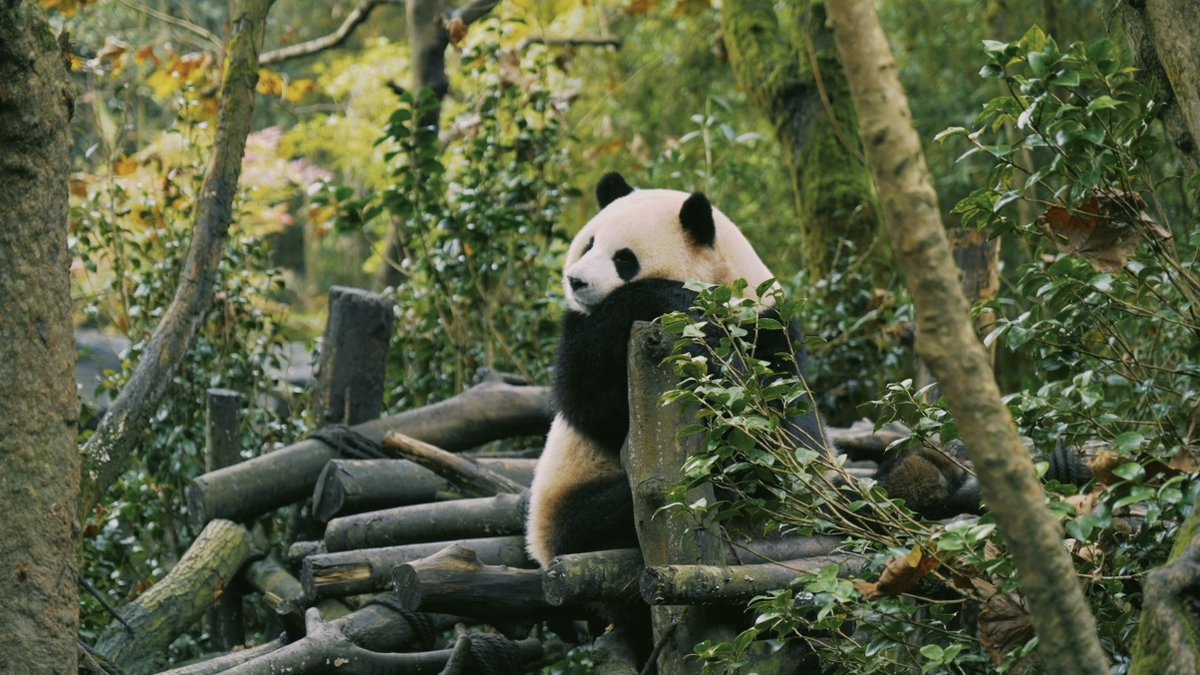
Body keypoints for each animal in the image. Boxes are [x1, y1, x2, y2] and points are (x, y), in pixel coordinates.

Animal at [526, 172, 827, 568]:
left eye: (624, 258)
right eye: (588, 245)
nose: (575, 280)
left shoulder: (768, 326)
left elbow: (776, 405)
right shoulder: (585, 327)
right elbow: (592, 402)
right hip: (567, 496)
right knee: (603, 516)